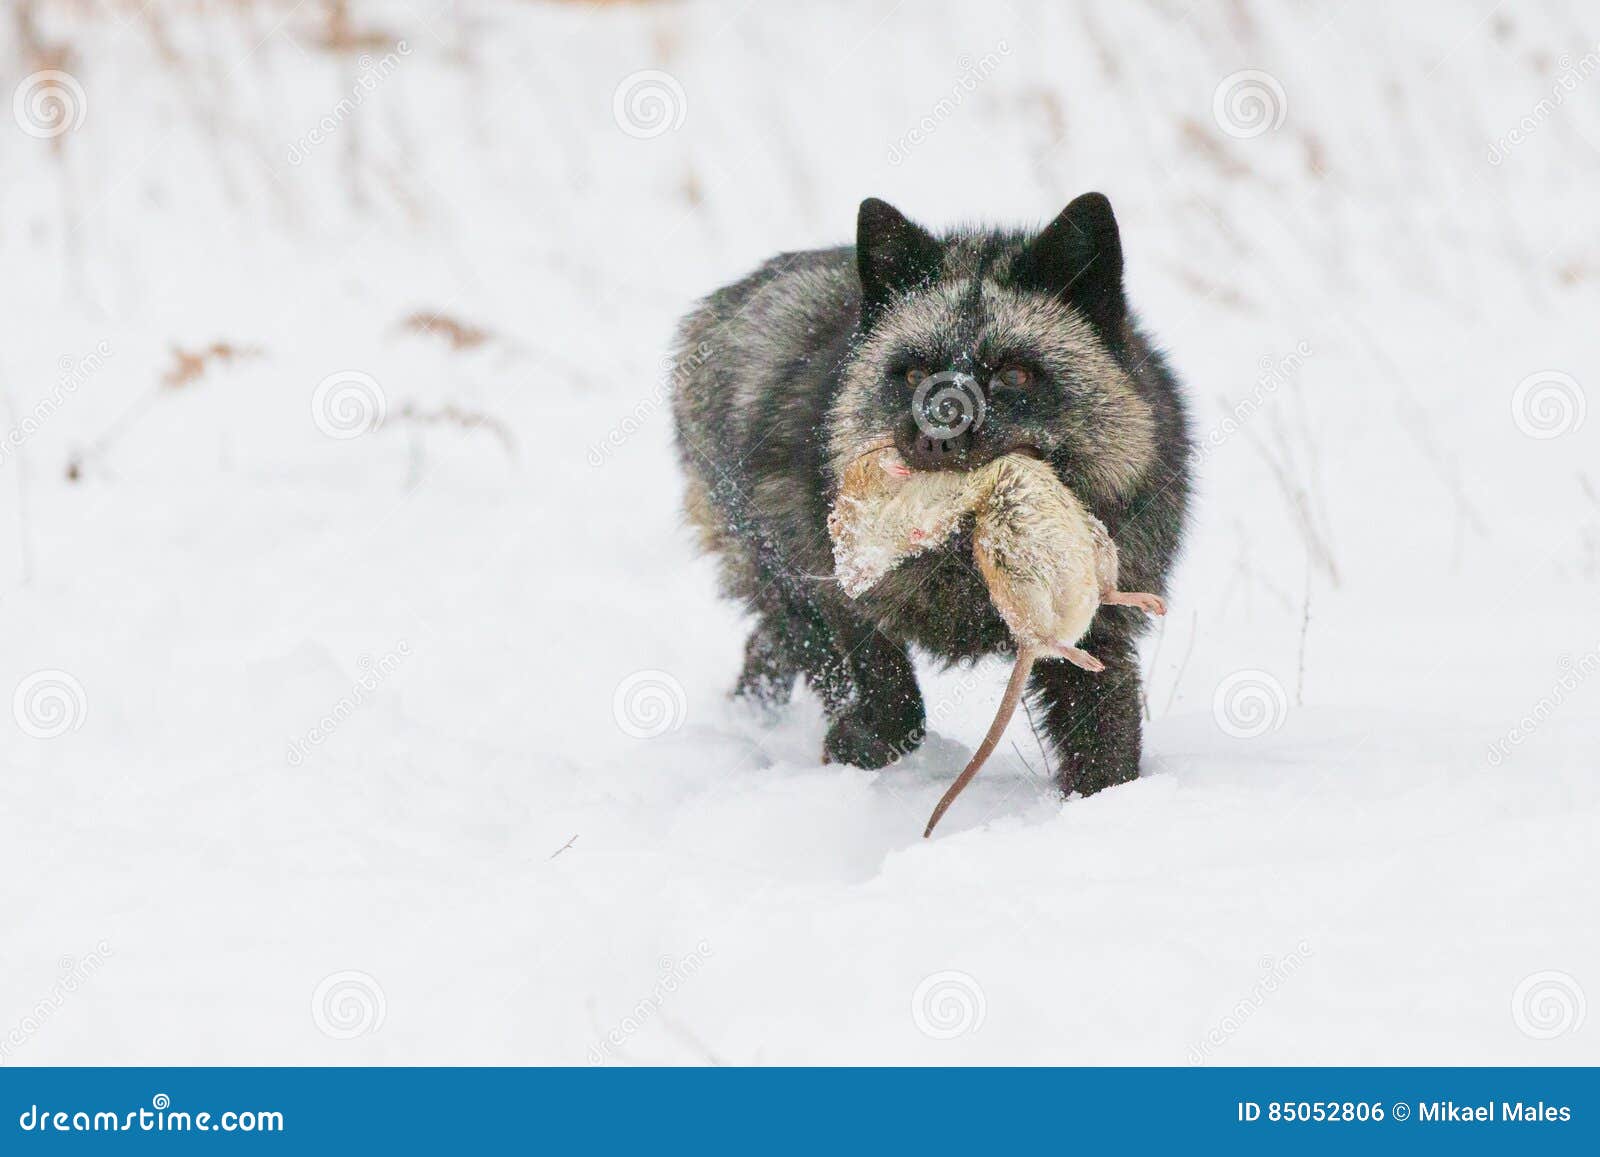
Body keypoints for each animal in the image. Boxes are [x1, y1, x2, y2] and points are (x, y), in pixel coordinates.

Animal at [669, 193, 1192, 797]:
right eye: (916, 371)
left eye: (1014, 374)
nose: (939, 433)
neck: (966, 573)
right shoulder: (826, 581)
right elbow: (894, 702)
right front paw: (856, 743)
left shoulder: (1091, 628)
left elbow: (1107, 752)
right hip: (765, 561)